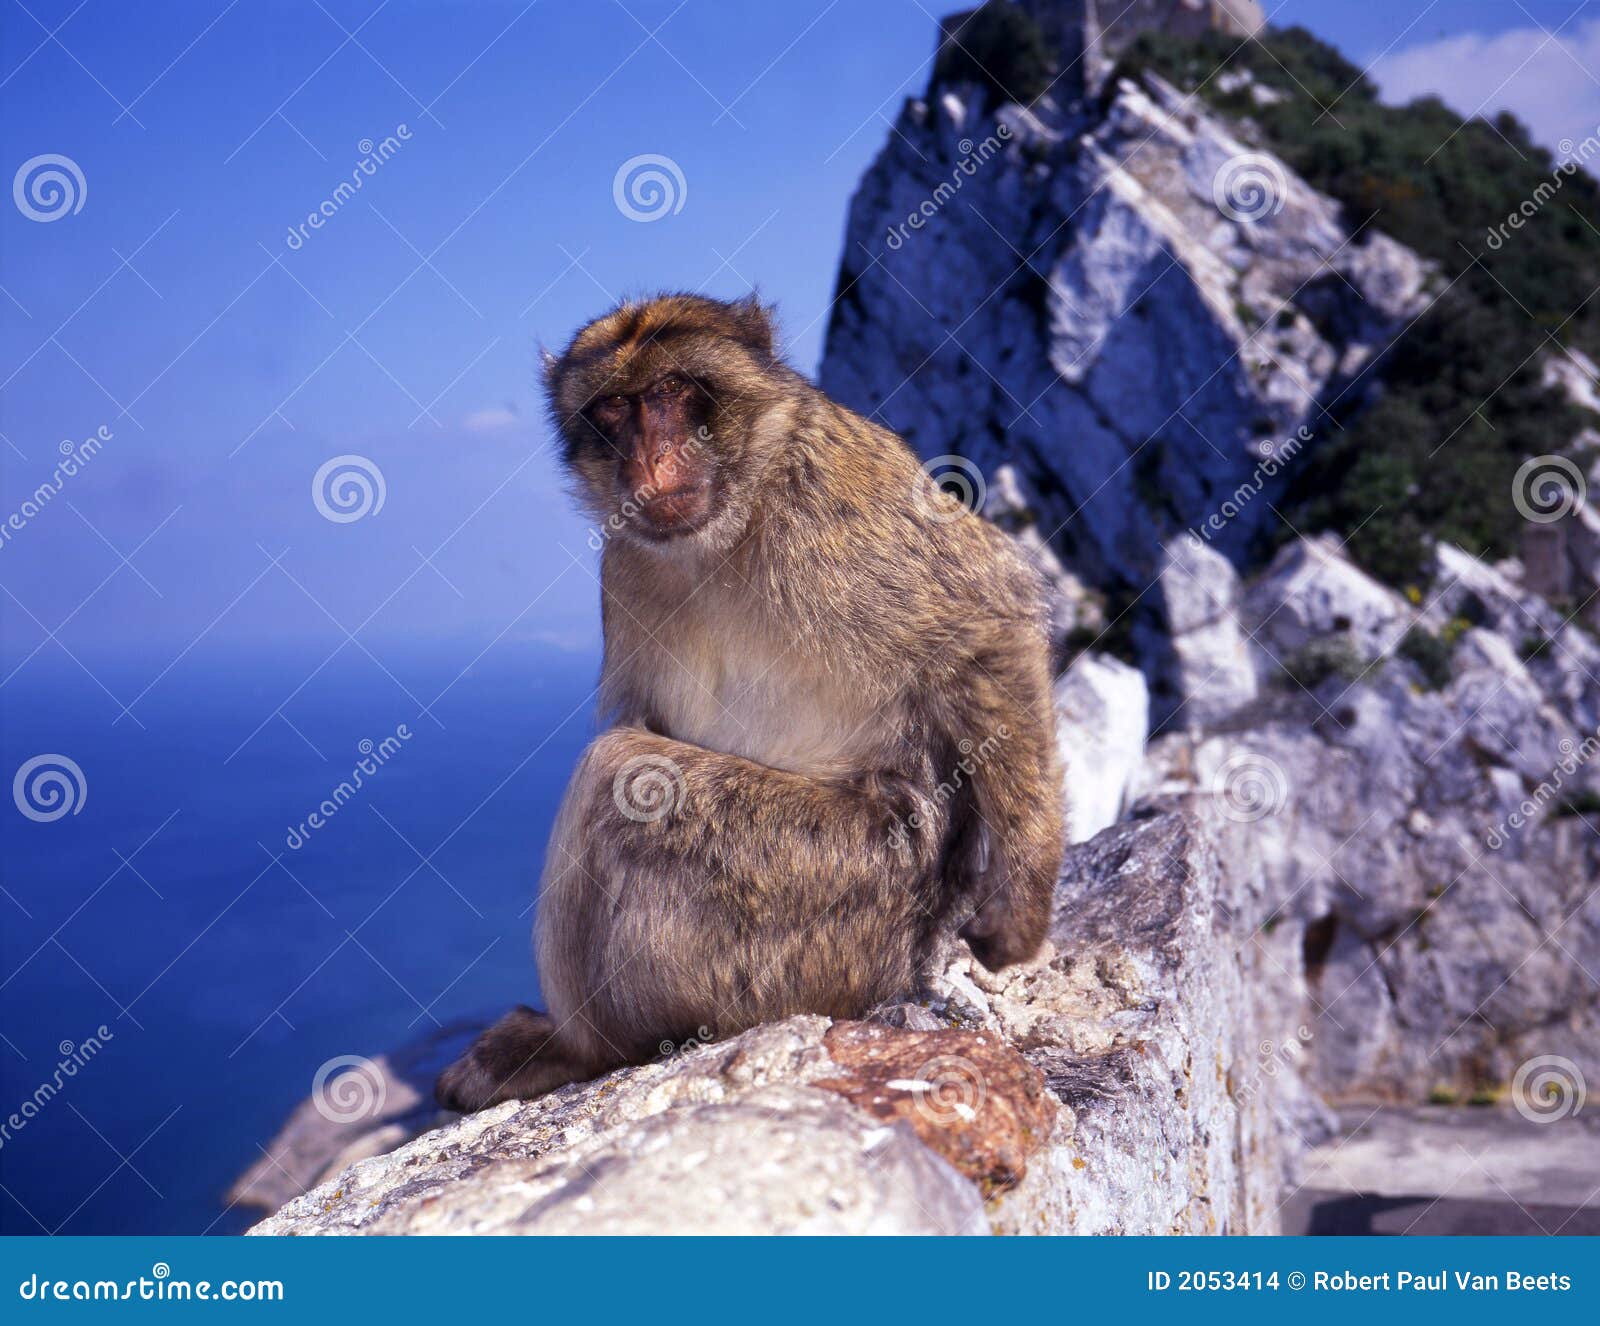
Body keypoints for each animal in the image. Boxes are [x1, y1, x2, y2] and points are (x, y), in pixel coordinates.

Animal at [435, 293, 1063, 1112]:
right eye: (614, 409)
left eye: (671, 392)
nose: (648, 460)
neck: (736, 517)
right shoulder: (625, 562)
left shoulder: (838, 497)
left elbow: (993, 621)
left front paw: (1021, 908)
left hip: (823, 910)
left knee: (622, 778)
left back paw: (576, 1050)